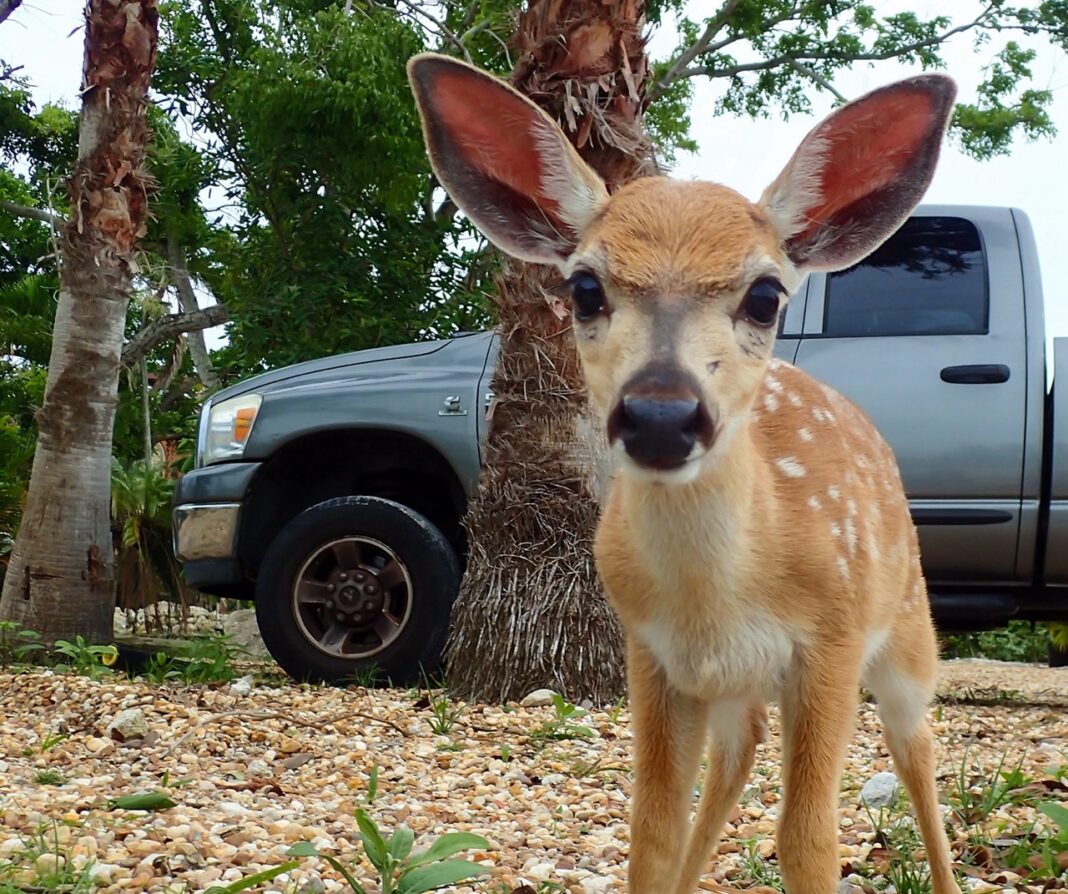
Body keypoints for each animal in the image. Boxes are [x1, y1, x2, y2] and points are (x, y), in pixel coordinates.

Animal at [408, 53, 961, 894]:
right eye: (584, 288)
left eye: (766, 295)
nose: (662, 415)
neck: (720, 594)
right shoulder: (653, 655)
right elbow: (652, 833)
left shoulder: (829, 643)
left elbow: (808, 840)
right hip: (734, 685)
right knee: (740, 752)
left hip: (905, 629)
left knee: (917, 747)